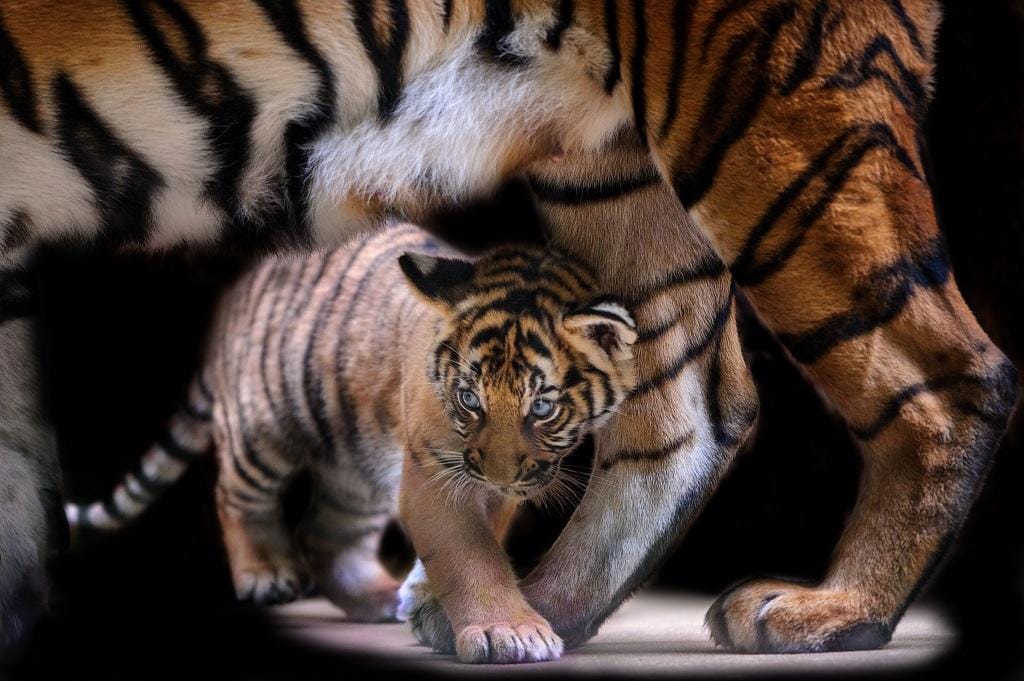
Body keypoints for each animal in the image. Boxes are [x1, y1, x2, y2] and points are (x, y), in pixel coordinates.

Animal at [63, 223, 639, 661]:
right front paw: (510, 633)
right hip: (263, 428)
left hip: (359, 464)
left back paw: (380, 597)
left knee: (326, 535)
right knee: (236, 496)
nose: (497, 476)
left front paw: (424, 594)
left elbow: (483, 537)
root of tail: (239, 296)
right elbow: (471, 554)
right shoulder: (437, 471)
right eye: (469, 399)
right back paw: (266, 574)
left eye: (541, 407)